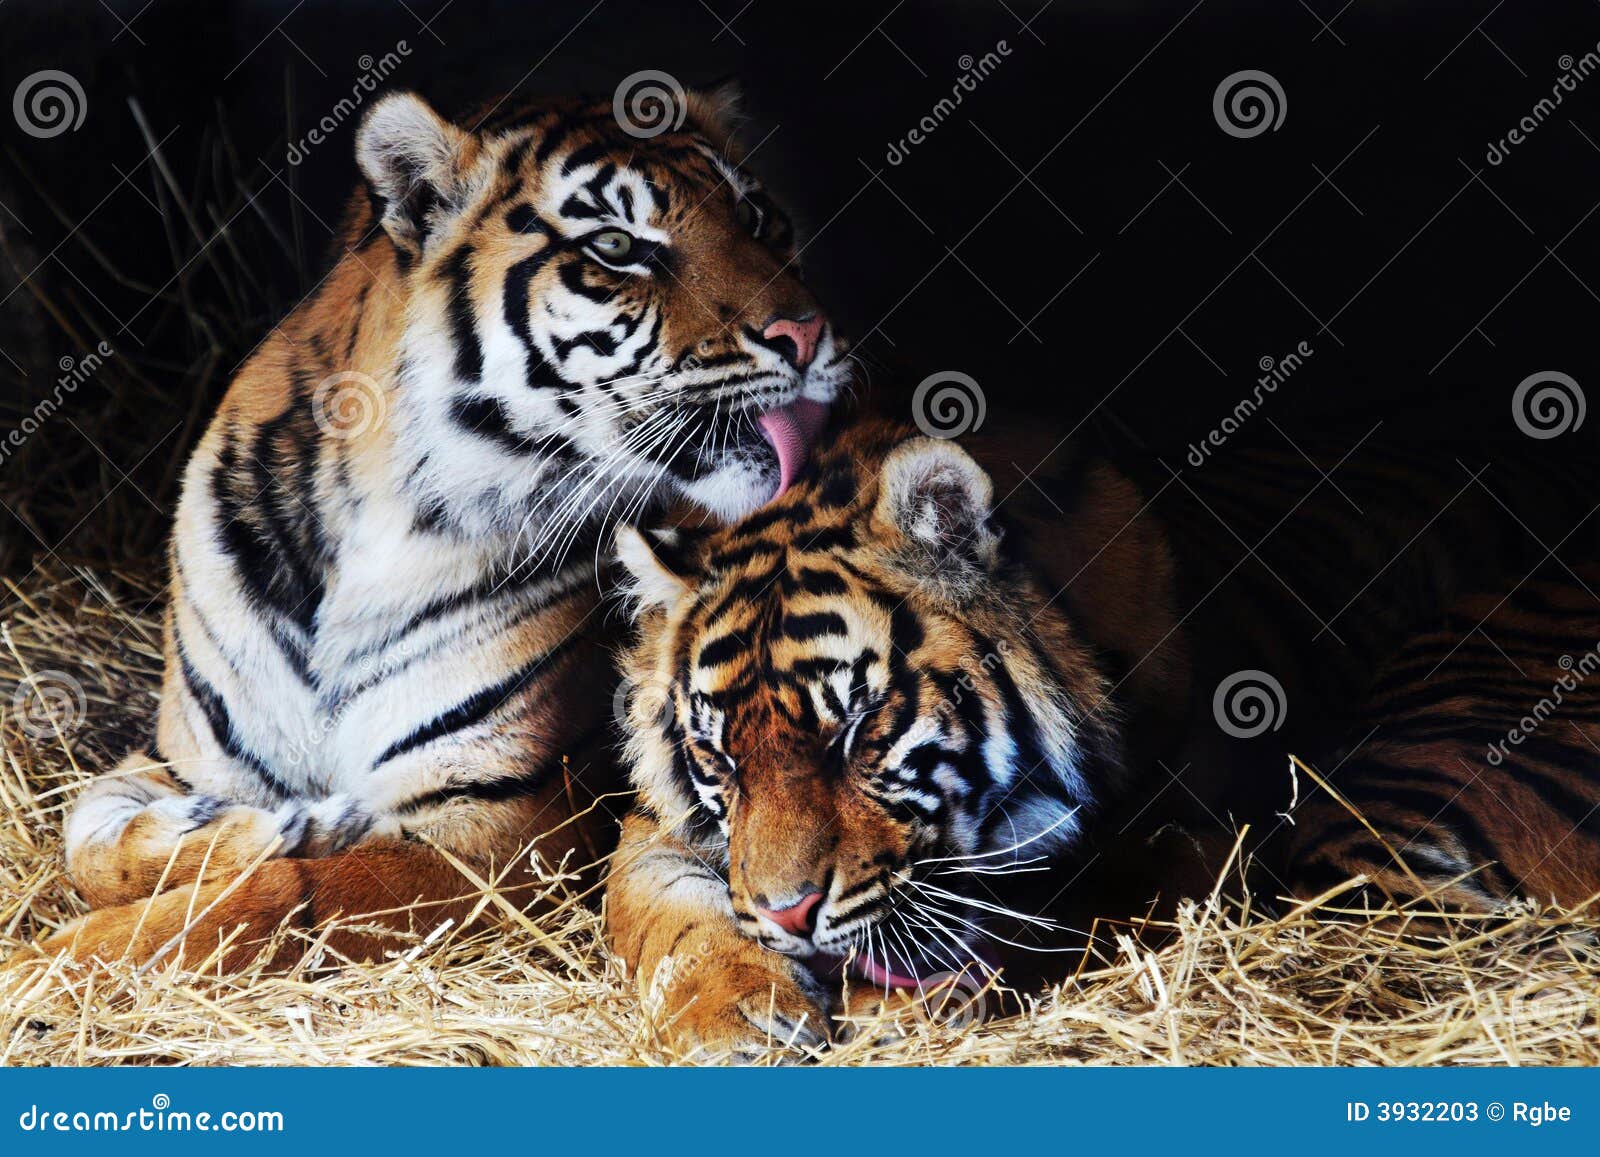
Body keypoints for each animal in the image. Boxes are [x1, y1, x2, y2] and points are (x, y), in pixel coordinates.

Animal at [11, 82, 850, 971]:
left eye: (756, 217)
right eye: (617, 245)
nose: (807, 334)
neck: (369, 529)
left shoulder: (499, 828)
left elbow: (265, 901)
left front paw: (46, 969)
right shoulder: (178, 757)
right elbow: (90, 837)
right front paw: (276, 823)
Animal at [607, 407, 1599, 1058]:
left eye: (857, 729)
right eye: (719, 759)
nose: (788, 916)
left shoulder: (1198, 841)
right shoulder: (662, 827)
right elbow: (656, 900)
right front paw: (734, 1014)